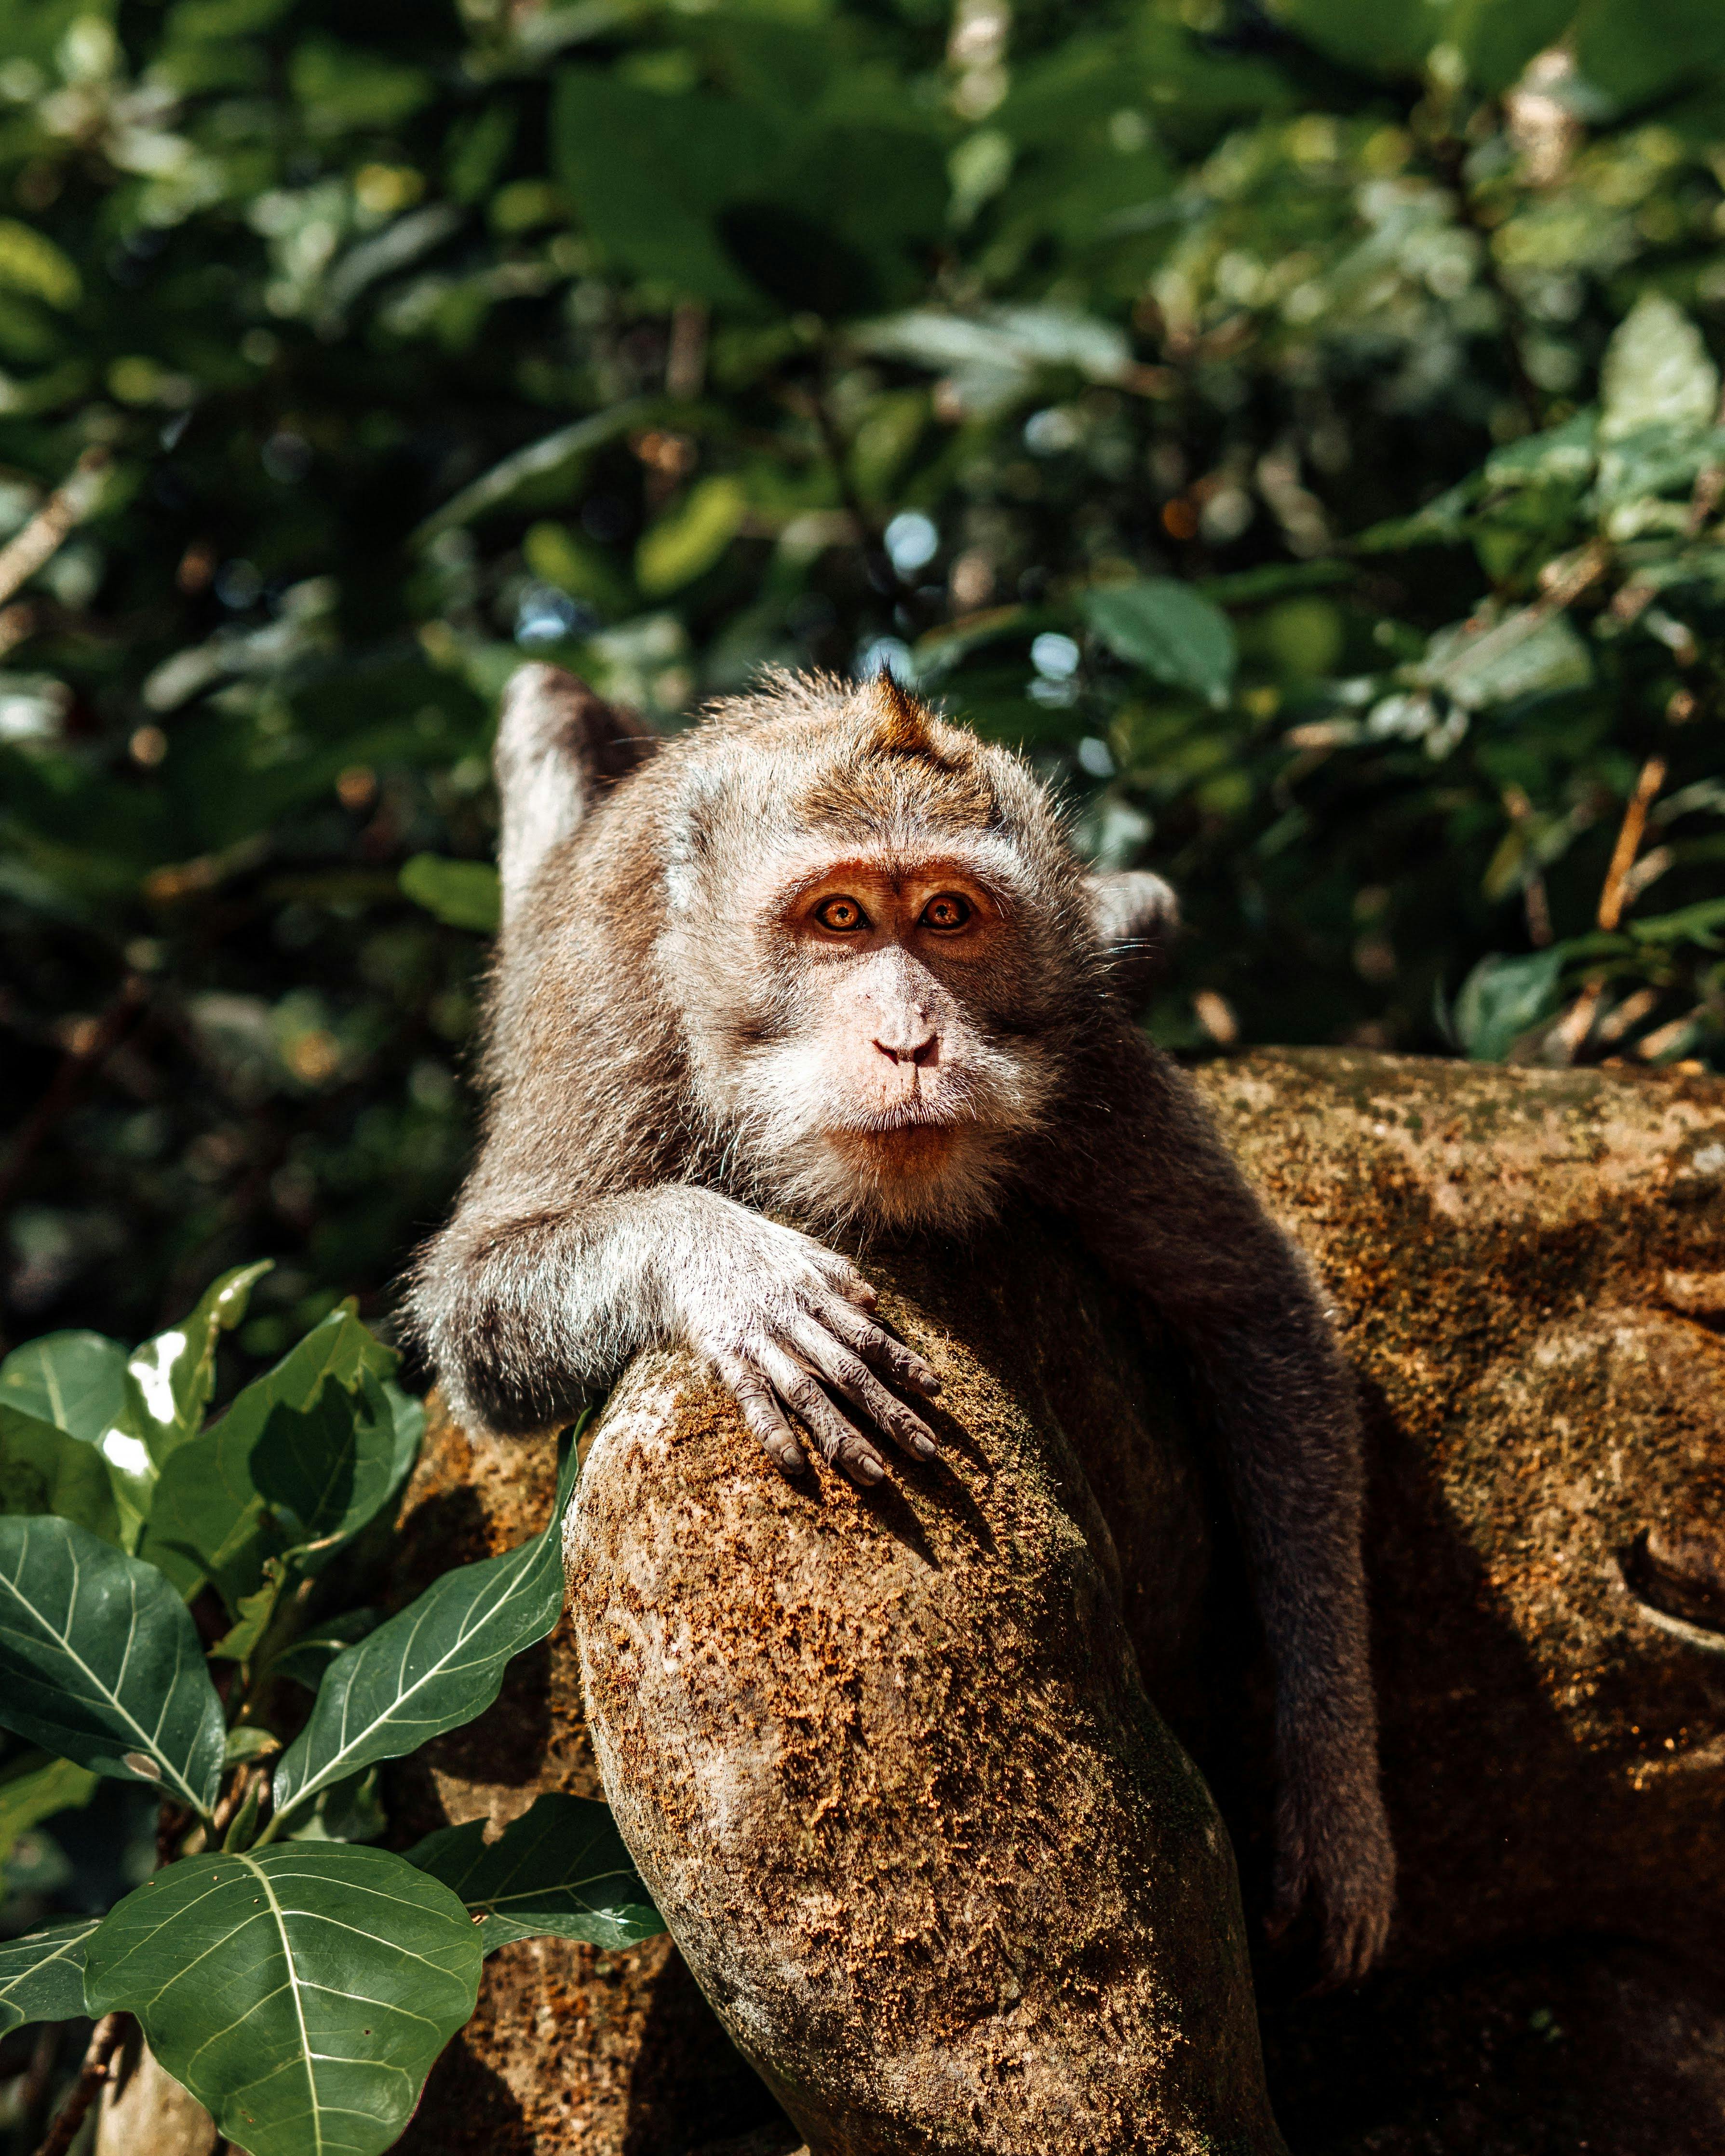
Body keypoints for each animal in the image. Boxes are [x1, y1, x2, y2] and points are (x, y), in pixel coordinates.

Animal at [409, 660, 1395, 1984]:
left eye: (945, 916)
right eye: (836, 917)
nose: (911, 1039)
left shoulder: (1081, 1046)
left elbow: (1251, 1308)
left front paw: (1336, 1803)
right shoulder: (618, 1019)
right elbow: (476, 1307)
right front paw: (733, 1266)